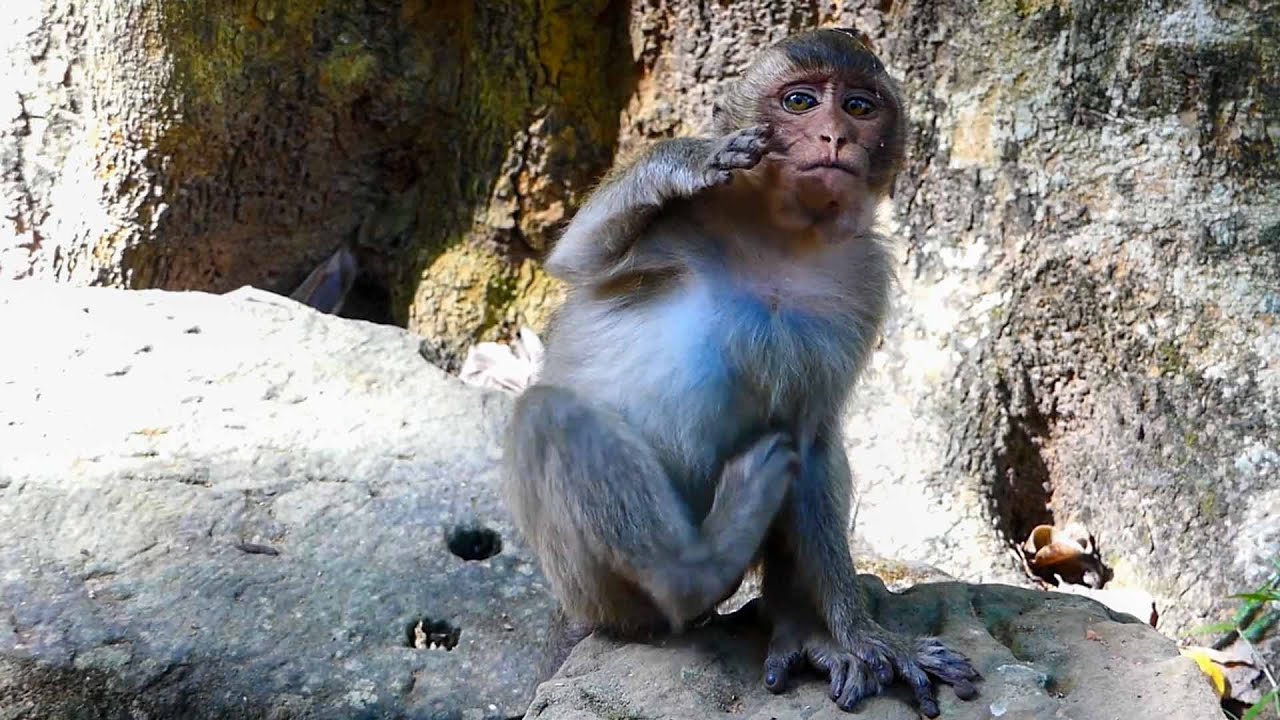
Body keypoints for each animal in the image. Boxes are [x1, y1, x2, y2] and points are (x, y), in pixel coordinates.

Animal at [503, 28, 980, 717]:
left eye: (859, 107)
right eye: (800, 100)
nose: (834, 135)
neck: (786, 235)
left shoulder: (863, 281)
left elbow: (811, 438)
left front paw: (862, 634)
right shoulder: (680, 221)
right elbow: (577, 258)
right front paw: (690, 158)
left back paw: (797, 626)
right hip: (593, 588)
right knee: (550, 414)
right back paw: (695, 570)